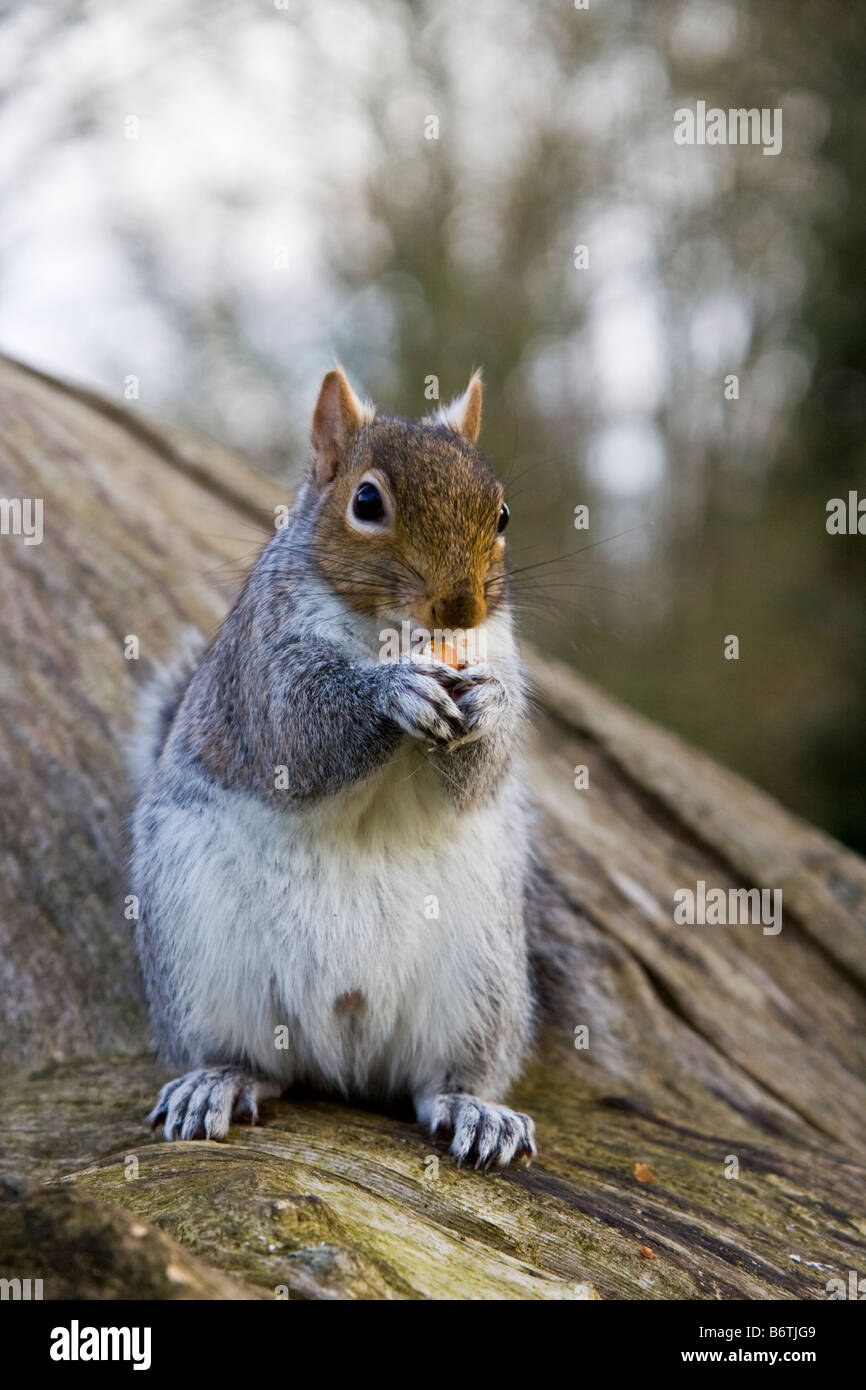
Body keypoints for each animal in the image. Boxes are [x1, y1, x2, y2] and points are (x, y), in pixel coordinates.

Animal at [130, 367, 539, 1170]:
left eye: (503, 512)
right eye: (367, 502)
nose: (461, 605)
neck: (389, 633)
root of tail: (345, 1052)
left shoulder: (495, 649)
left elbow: (484, 768)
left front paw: (491, 706)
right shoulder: (265, 664)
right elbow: (300, 733)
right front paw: (393, 692)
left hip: (481, 979)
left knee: (438, 1081)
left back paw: (475, 1109)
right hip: (199, 948)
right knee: (256, 1061)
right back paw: (218, 1081)